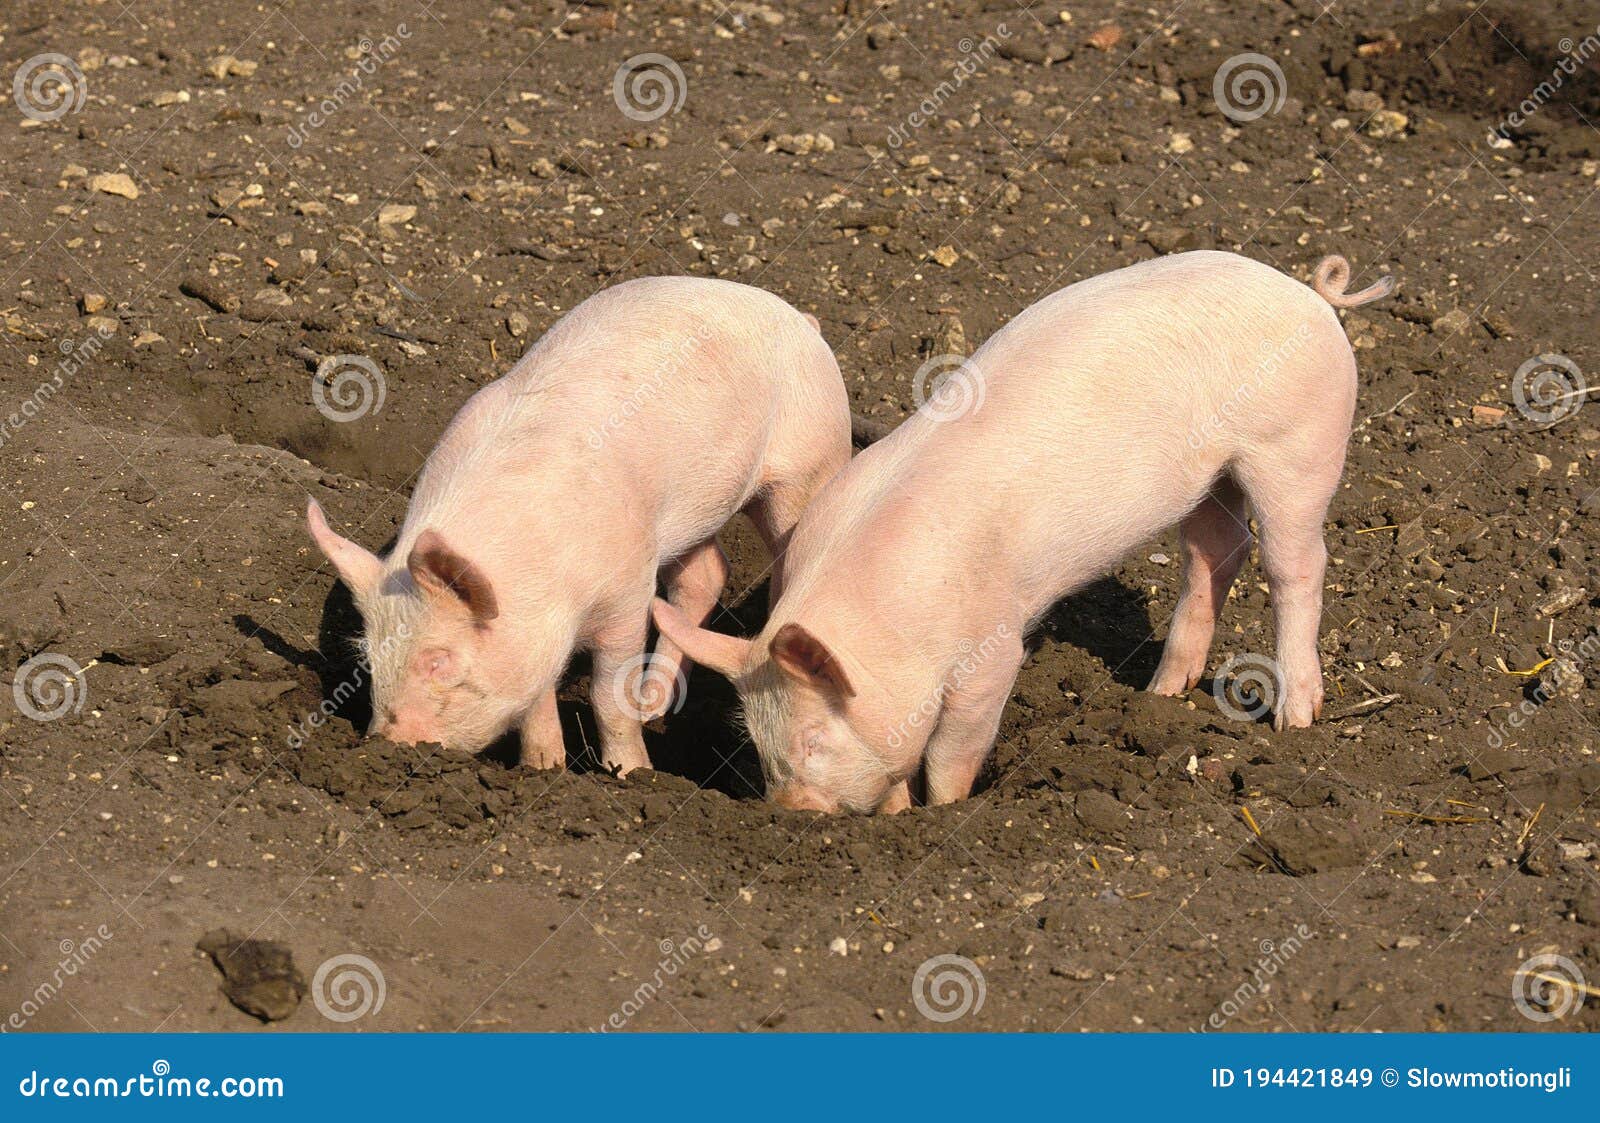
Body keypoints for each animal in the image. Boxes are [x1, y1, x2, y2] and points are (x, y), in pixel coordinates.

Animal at [307, 276, 851, 773]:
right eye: (368, 656)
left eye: (438, 659)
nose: (387, 744)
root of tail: (798, 318)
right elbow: (536, 699)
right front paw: (543, 768)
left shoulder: (628, 590)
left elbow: (606, 697)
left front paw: (631, 773)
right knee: (707, 574)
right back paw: (654, 705)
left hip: (809, 466)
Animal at [652, 251, 1395, 812]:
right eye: (758, 742)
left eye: (814, 739)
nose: (790, 814)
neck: (889, 620)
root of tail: (1308, 293)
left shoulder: (991, 652)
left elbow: (953, 751)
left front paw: (940, 810)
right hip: (1212, 477)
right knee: (1217, 548)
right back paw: (1161, 691)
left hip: (1296, 447)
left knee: (1297, 564)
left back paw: (1295, 716)